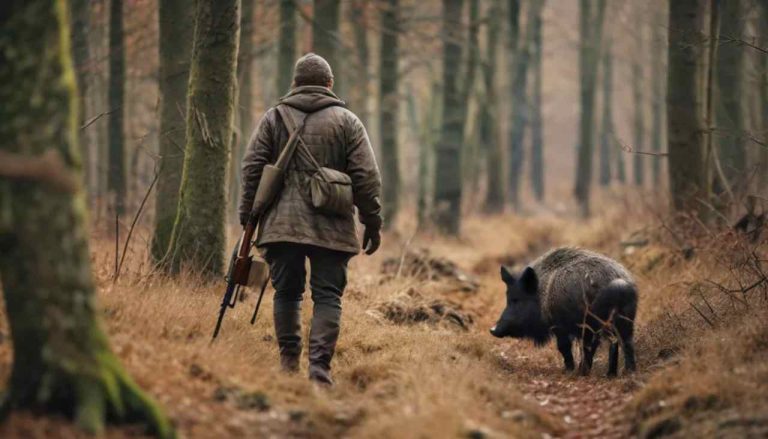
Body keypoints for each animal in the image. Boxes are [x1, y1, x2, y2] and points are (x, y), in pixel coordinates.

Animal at [490, 247, 637, 376]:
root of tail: (618, 284)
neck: (541, 294)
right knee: (625, 342)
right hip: (626, 320)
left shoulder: (558, 326)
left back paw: (585, 372)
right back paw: (622, 373)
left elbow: (563, 347)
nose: (492, 329)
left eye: (516, 300)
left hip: (593, 322)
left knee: (596, 344)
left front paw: (568, 371)